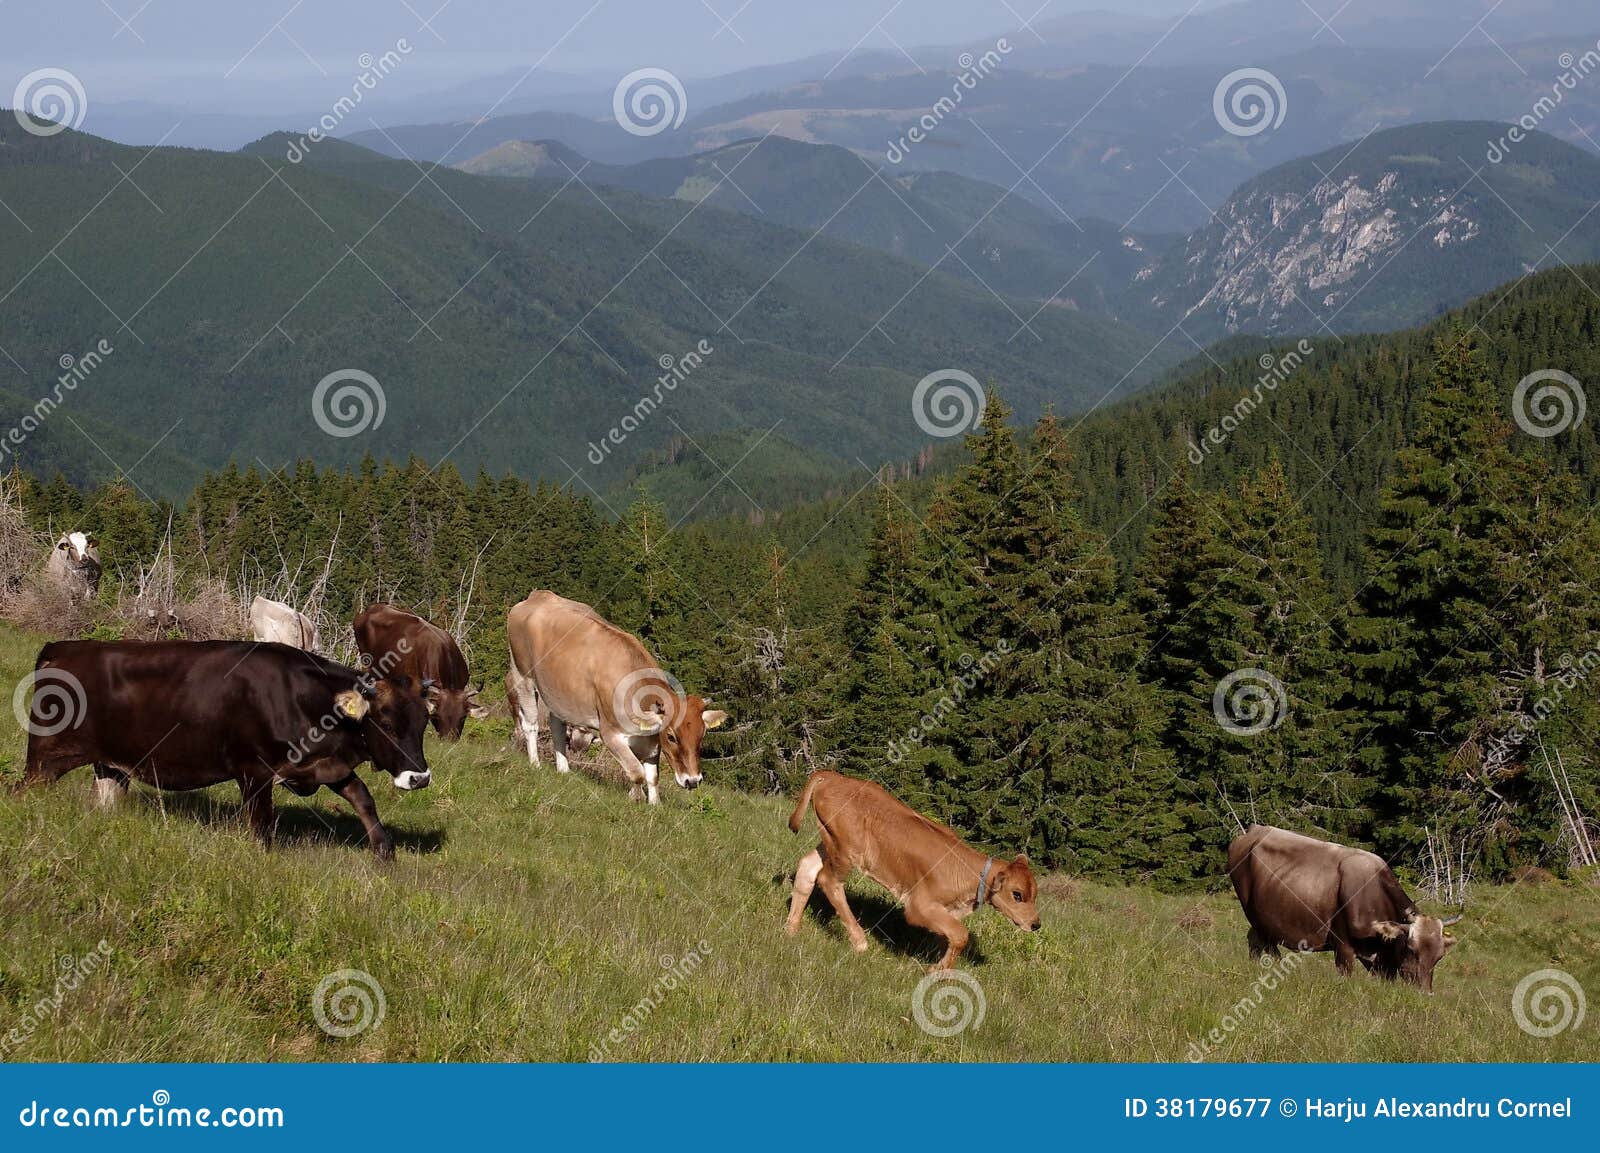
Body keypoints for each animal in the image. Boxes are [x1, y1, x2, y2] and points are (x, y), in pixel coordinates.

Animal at [18, 639, 433, 860]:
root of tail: (64, 646)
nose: (420, 777)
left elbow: (363, 799)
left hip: (112, 766)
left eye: (423, 725)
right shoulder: (254, 771)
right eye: (387, 725)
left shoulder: (327, 764)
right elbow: (262, 827)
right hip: (44, 758)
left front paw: (384, 851)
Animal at [505, 590, 725, 804]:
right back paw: (535, 763)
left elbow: (652, 777)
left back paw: (563, 770)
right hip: (522, 675)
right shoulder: (610, 734)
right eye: (671, 736)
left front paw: (654, 805)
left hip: (558, 694)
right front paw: (635, 797)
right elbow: (637, 772)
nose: (693, 781)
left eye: (702, 734)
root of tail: (539, 595)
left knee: (557, 725)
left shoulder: (653, 745)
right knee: (531, 724)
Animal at [785, 770, 1040, 970]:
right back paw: (859, 941)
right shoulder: (919, 906)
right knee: (829, 881)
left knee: (807, 867)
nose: (1036, 924)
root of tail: (832, 776)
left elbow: (948, 937)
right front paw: (938, 970)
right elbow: (960, 934)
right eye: (1017, 894)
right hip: (846, 851)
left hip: (830, 843)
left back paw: (791, 928)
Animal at [1227, 825, 1462, 993]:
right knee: (1267, 946)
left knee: (1255, 942)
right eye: (1411, 949)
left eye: (1439, 956)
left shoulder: (1383, 962)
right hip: (1256, 916)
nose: (1423, 994)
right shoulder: (1343, 947)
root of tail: (1254, 830)